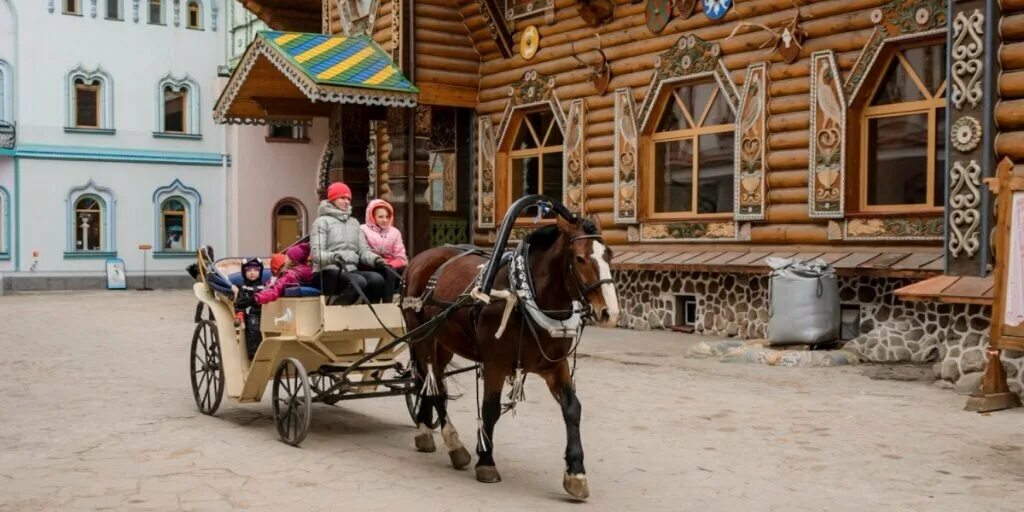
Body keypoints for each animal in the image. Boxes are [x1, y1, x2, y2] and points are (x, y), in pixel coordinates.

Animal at [403, 211, 618, 499]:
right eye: (579, 258)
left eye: (609, 255)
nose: (610, 313)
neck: (526, 296)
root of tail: (419, 259)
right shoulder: (495, 364)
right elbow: (490, 408)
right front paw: (486, 461)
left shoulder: (555, 365)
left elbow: (572, 408)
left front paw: (576, 473)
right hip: (422, 337)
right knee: (434, 386)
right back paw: (454, 445)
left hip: (443, 344)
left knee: (429, 381)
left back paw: (425, 431)